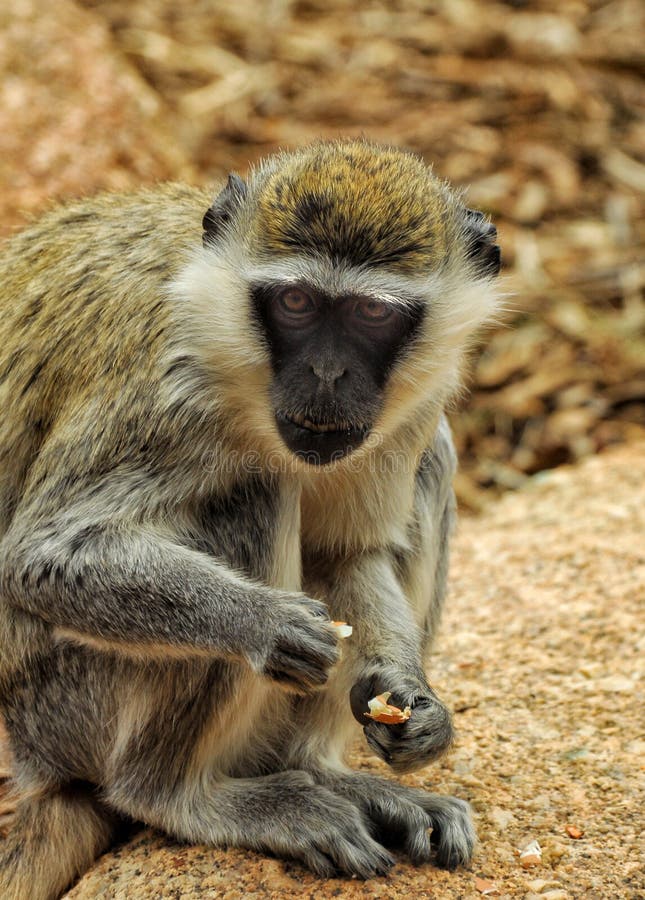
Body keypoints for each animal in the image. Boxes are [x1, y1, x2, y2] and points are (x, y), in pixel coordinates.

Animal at [0, 139, 501, 899]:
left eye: (371, 316)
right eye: (295, 303)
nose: (326, 375)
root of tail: (35, 764)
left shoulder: (411, 403)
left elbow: (344, 554)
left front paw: (410, 698)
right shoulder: (167, 386)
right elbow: (41, 557)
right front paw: (263, 624)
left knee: (431, 455)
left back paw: (327, 775)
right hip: (61, 709)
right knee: (253, 490)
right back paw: (180, 795)